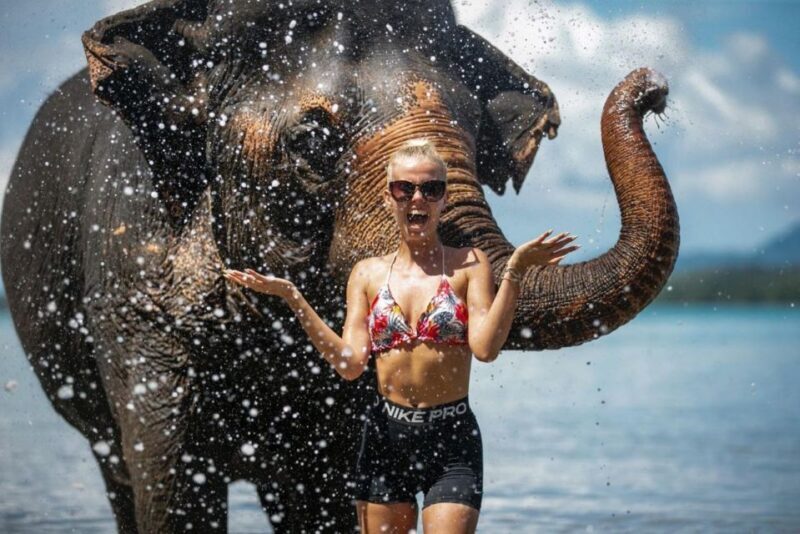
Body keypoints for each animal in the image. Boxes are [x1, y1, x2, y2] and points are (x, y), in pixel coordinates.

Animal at [0, 0, 679, 531]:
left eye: (473, 134)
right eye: (314, 141)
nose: (655, 89)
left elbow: (325, 490)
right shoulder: (133, 293)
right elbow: (174, 485)